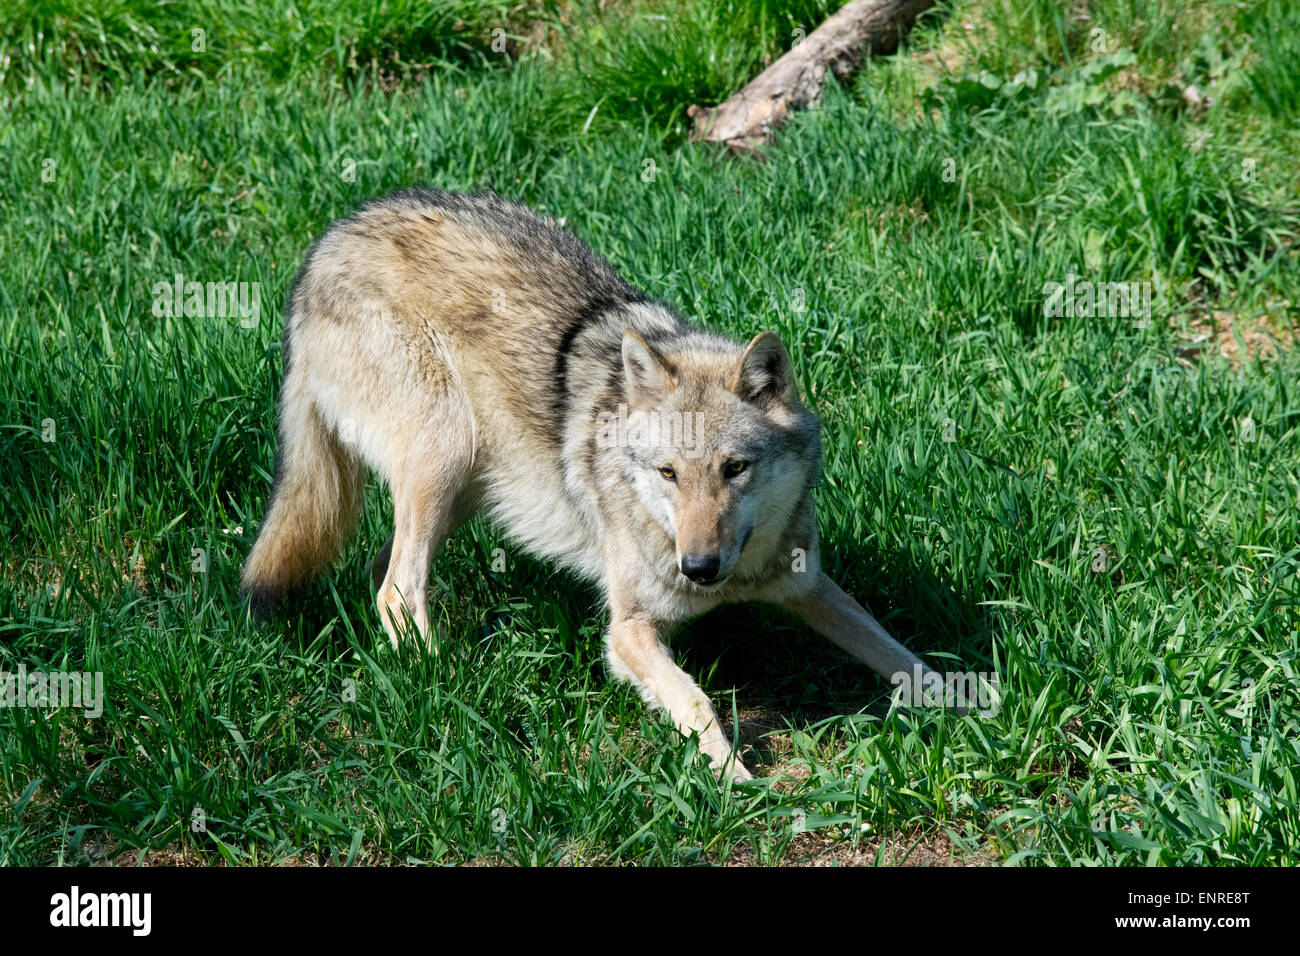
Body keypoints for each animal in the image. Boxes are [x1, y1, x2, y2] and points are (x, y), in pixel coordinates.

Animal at [241, 188, 933, 782]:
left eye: (735, 469)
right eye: (669, 474)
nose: (698, 567)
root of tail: (325, 246)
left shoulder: (806, 585)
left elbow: (902, 655)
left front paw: (957, 702)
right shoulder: (627, 629)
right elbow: (695, 700)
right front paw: (731, 778)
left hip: (469, 486)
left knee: (383, 572)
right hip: (448, 454)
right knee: (396, 588)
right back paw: (450, 687)